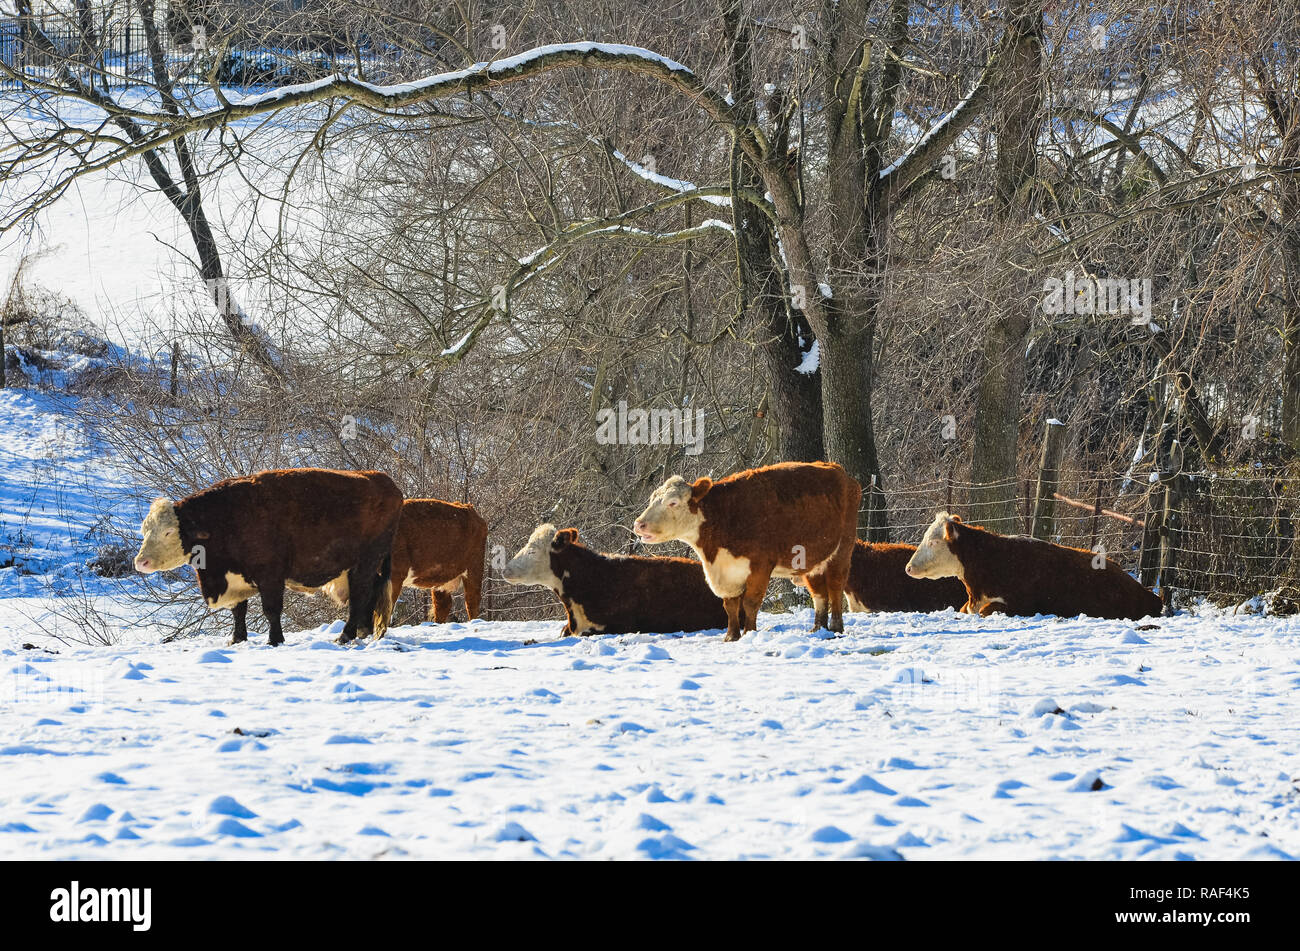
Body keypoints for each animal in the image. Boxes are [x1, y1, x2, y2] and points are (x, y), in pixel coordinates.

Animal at [134, 468, 403, 645]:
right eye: (145, 530)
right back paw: (363, 631)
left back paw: (345, 635)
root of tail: (381, 479)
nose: (141, 562)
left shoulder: (270, 576)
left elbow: (271, 610)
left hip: (365, 564)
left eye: (169, 531)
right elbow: (239, 611)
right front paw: (237, 639)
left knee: (360, 597)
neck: (224, 519)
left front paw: (274, 640)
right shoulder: (236, 578)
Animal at [633, 461, 862, 642]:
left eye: (673, 502)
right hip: (812, 560)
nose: (639, 524)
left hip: (842, 551)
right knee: (819, 594)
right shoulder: (727, 573)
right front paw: (731, 636)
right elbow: (730, 605)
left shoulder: (760, 566)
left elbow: (750, 603)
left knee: (835, 587)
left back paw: (836, 628)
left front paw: (749, 633)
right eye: (652, 499)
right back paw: (817, 629)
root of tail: (837, 469)